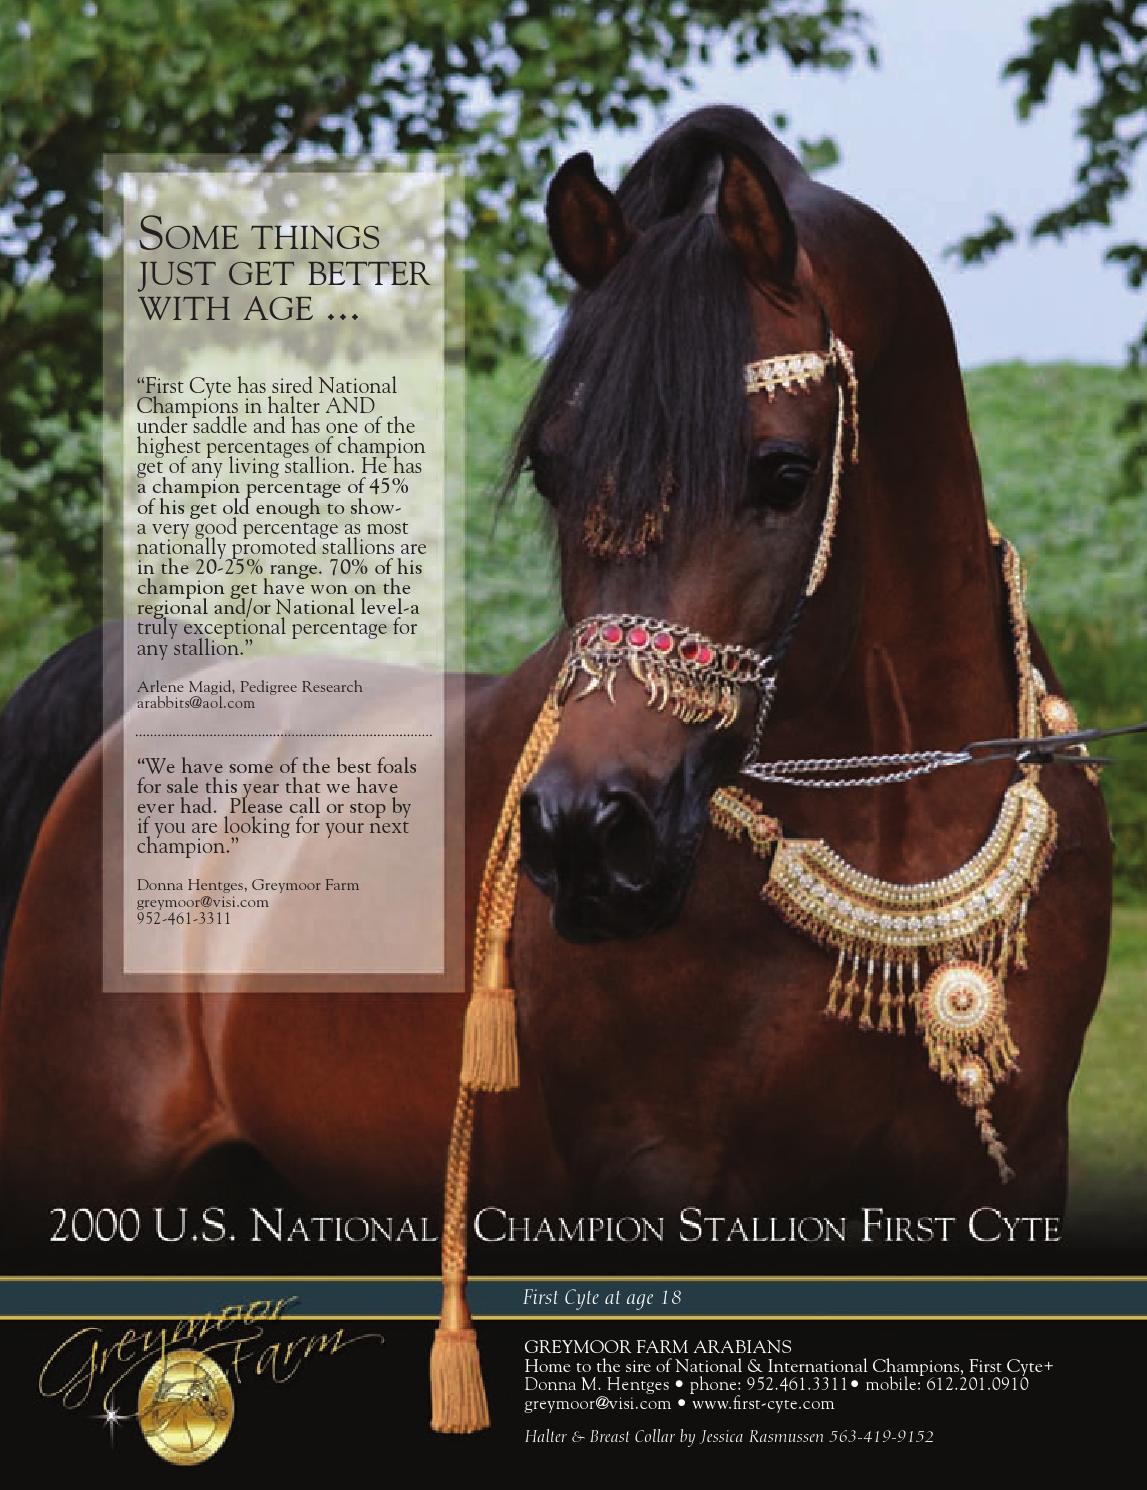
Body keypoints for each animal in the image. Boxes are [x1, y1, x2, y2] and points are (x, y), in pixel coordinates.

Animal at [0, 108, 1111, 1262]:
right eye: (550, 468)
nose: (588, 834)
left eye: (784, 472)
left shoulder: (1017, 1171)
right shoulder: (659, 1185)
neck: (898, 821)